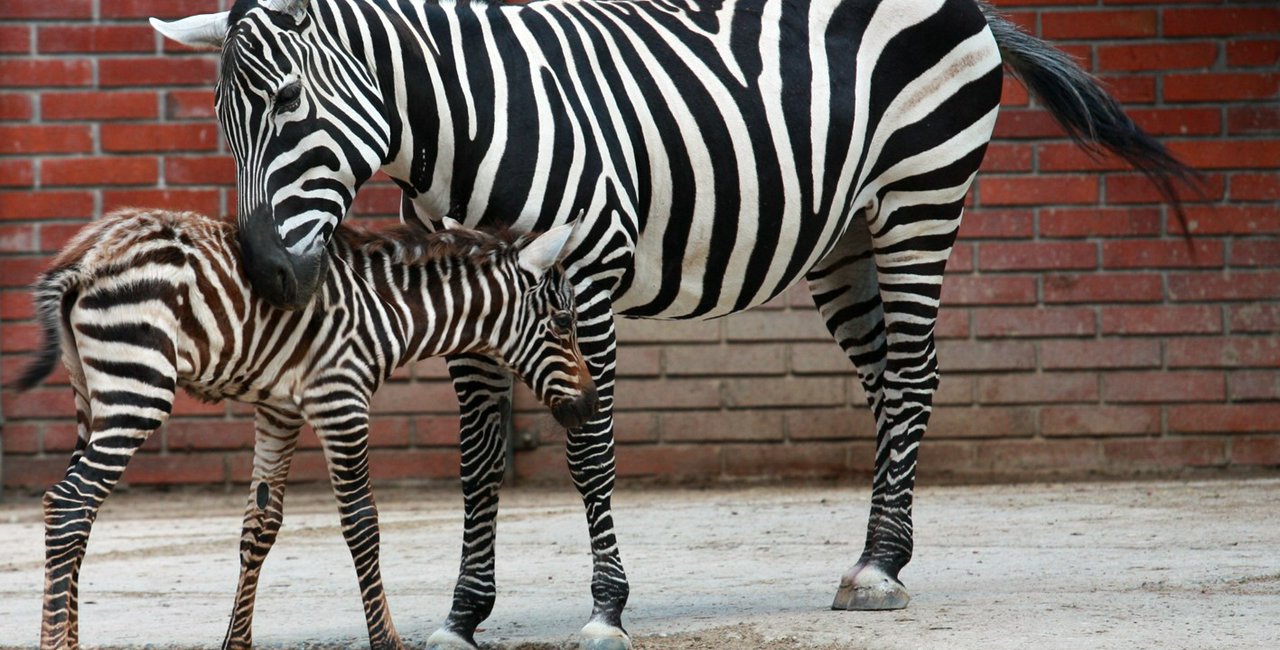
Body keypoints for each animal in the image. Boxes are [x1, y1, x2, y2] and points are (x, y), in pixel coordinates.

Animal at [14, 206, 595, 650]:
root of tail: (84, 258)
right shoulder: (341, 400)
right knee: (68, 504)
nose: (589, 406)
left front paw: (236, 642)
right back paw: (57, 644)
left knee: (76, 512)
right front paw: (386, 640)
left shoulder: (278, 411)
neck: (386, 309)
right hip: (138, 388)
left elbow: (260, 526)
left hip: (91, 396)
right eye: (564, 322)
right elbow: (362, 524)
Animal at [152, 0, 1194, 648]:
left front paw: (607, 609)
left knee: (914, 375)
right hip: (844, 235)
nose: (270, 275)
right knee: (895, 382)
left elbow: (590, 443)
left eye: (289, 102)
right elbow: (479, 458)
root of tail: (967, 7)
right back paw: (881, 555)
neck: (460, 131)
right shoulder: (477, 303)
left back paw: (876, 574)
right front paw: (462, 615)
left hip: (920, 201)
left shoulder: (587, 274)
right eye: (222, 122)